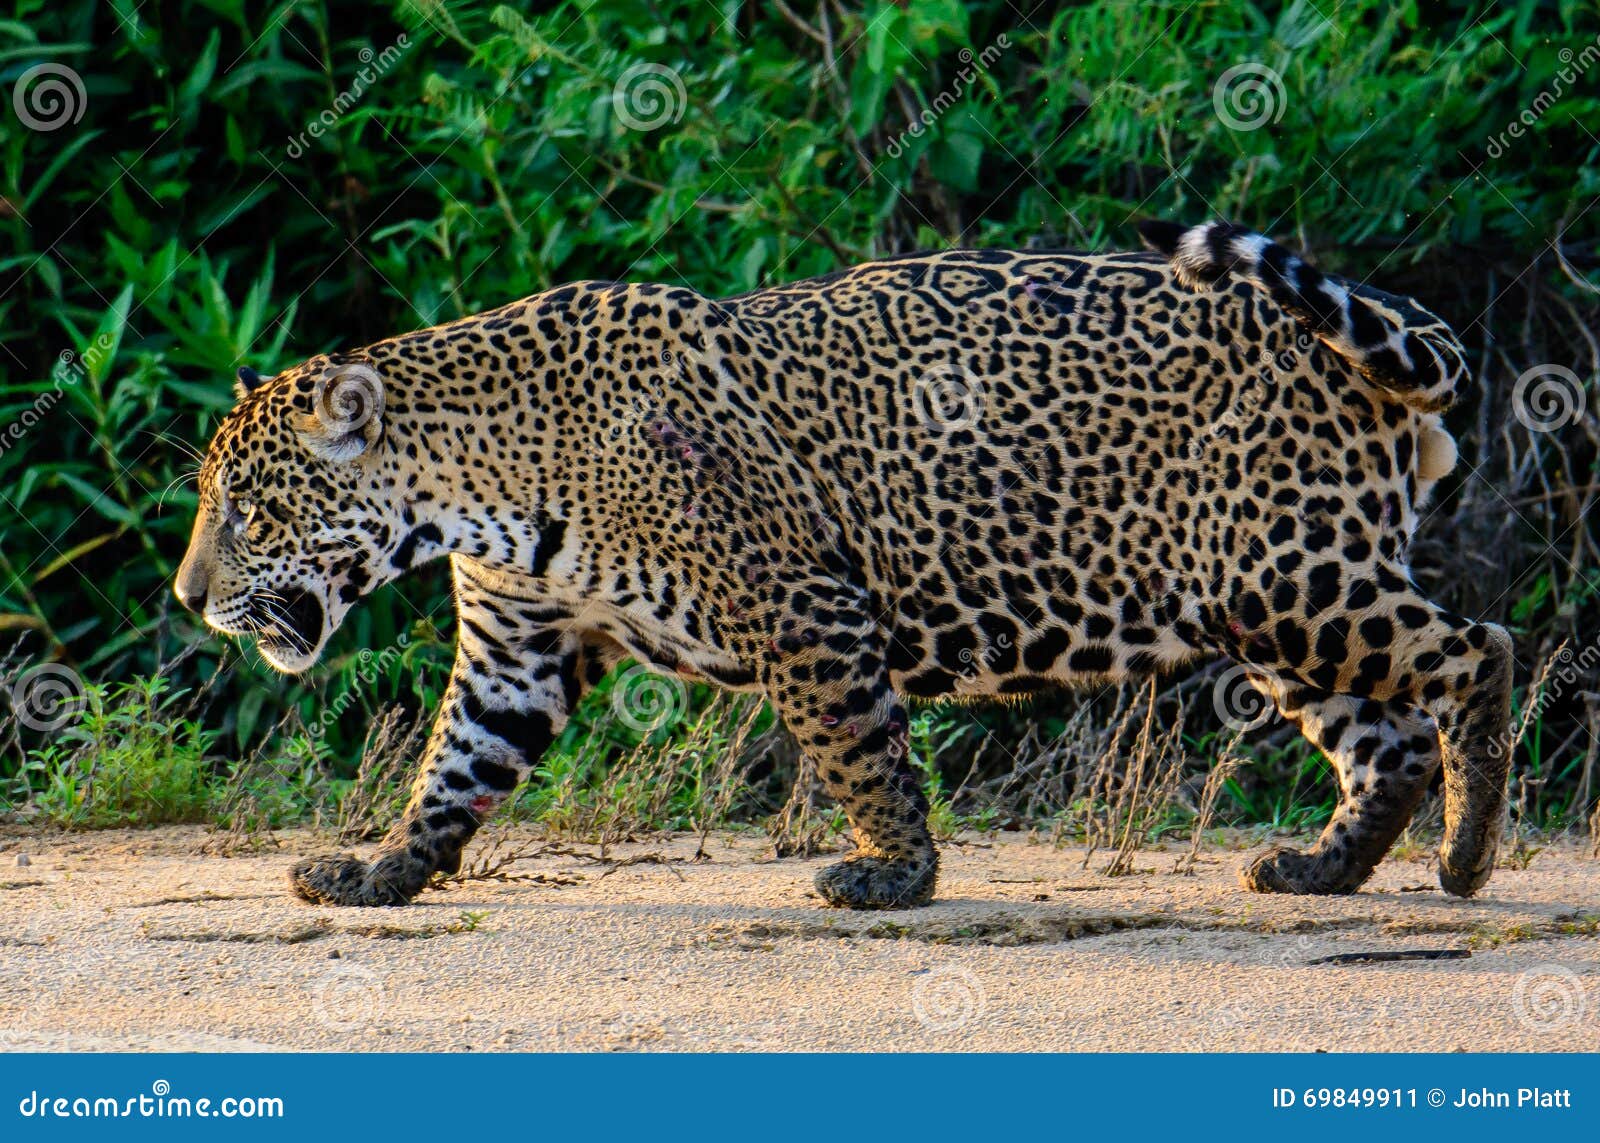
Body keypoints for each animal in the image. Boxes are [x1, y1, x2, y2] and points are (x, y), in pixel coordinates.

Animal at [174, 218, 1513, 910]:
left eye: (245, 508)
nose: (188, 597)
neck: (471, 483)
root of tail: (1389, 330)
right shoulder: (519, 647)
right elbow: (454, 771)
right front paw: (379, 872)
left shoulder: (803, 609)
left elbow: (860, 751)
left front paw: (893, 875)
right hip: (1268, 595)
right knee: (1387, 735)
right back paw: (1324, 869)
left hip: (1286, 572)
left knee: (1477, 652)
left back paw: (1466, 857)